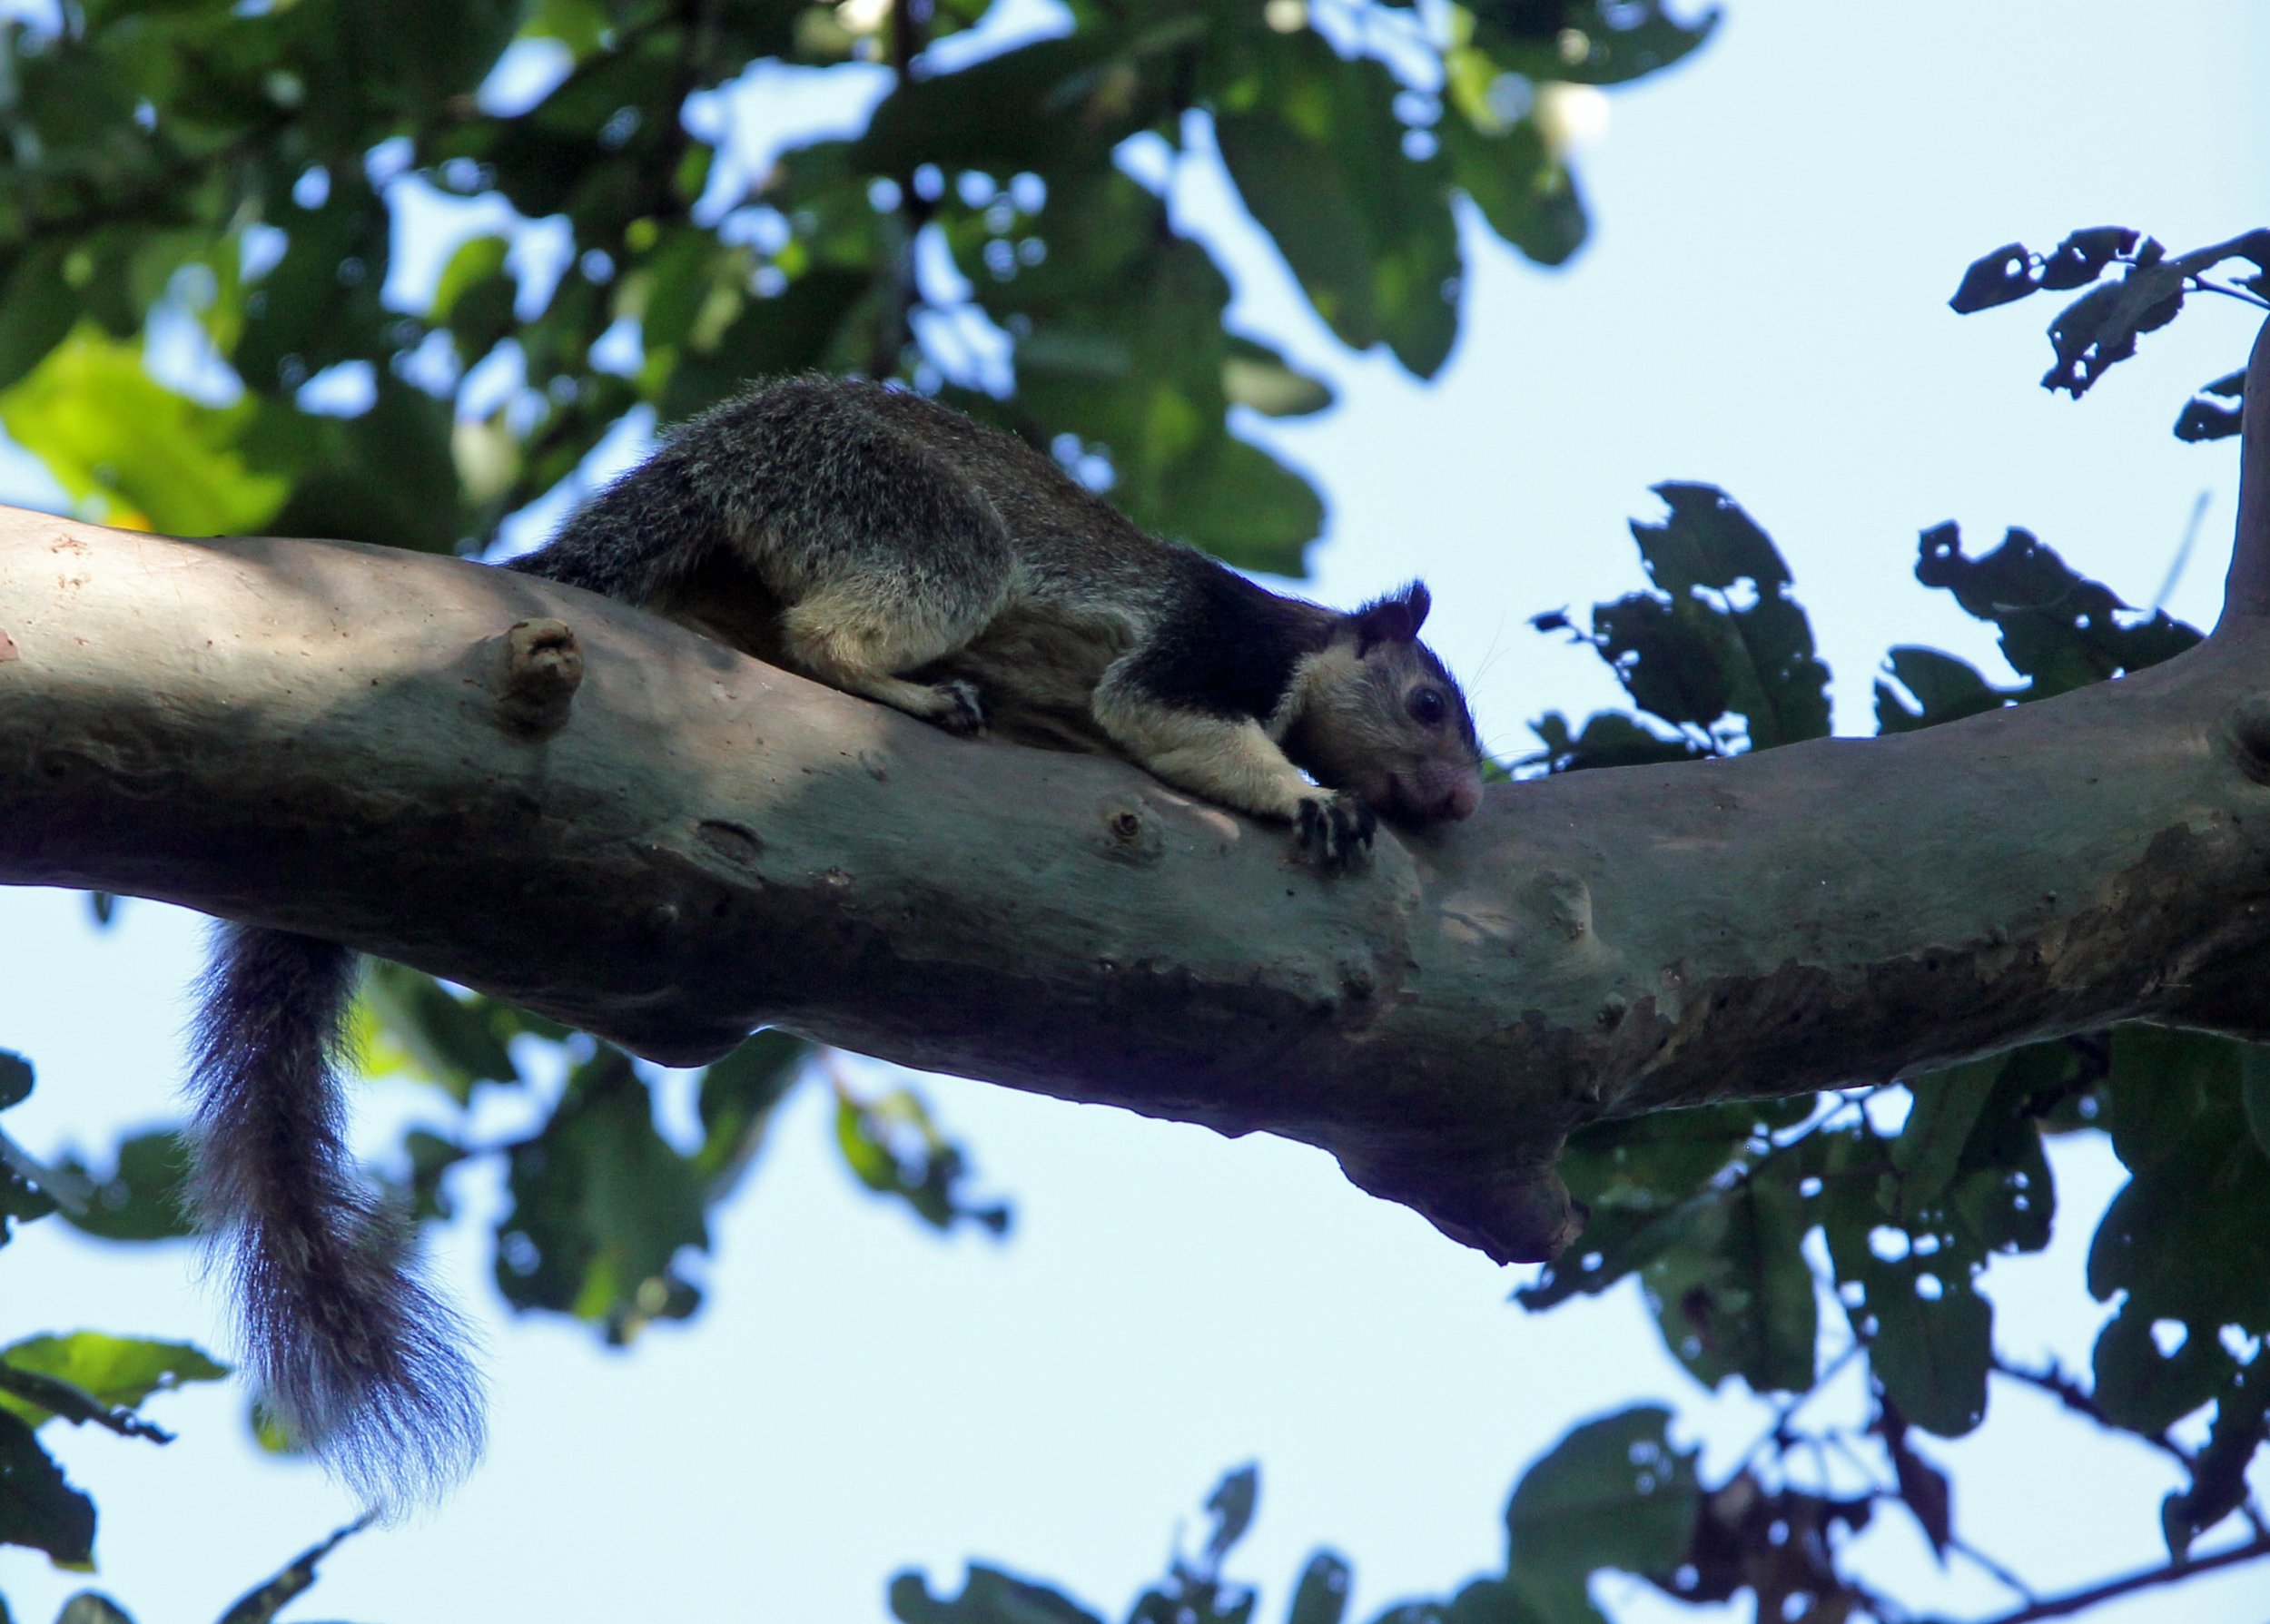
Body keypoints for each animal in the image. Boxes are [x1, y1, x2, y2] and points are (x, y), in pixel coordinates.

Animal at [190, 376, 1486, 1503]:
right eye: (1428, 703)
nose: (1465, 796)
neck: (1301, 652)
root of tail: (717, 449)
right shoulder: (1216, 644)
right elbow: (1152, 710)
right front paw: (1309, 798)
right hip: (903, 513)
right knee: (840, 626)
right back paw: (906, 688)